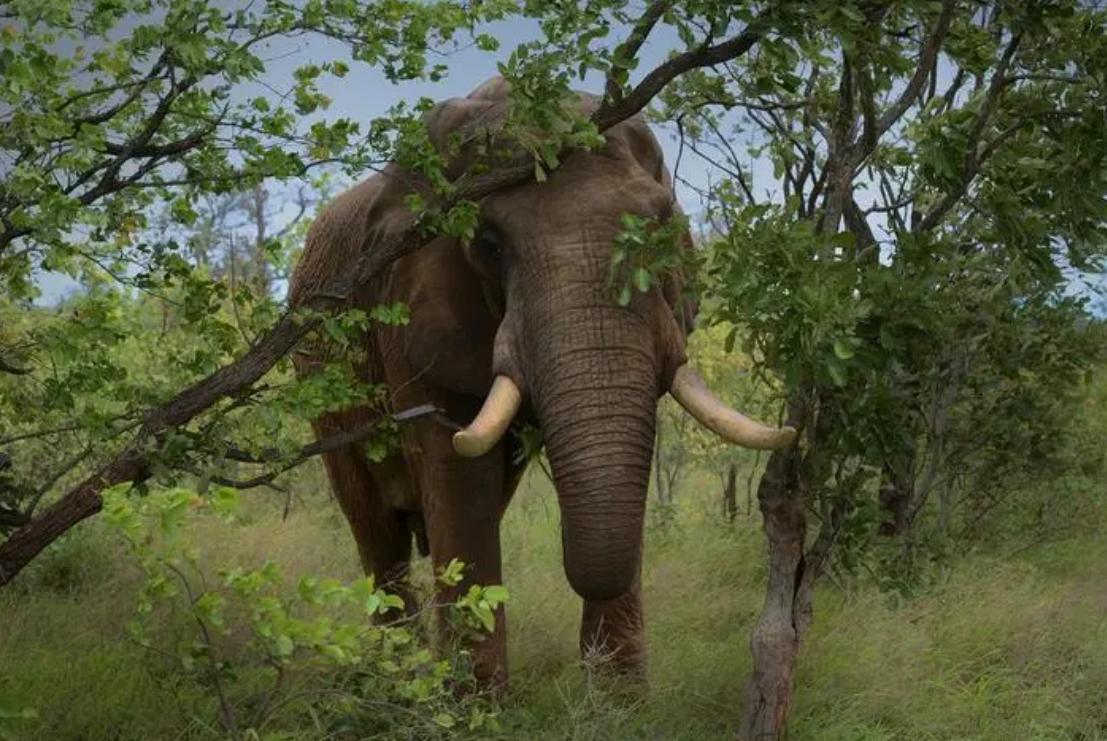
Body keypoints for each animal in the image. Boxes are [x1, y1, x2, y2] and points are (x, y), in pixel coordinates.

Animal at [288, 77, 795, 686]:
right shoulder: (408, 311)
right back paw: (400, 675)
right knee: (377, 531)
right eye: (488, 244)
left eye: (660, 229)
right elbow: (456, 470)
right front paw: (471, 700)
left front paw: (618, 702)